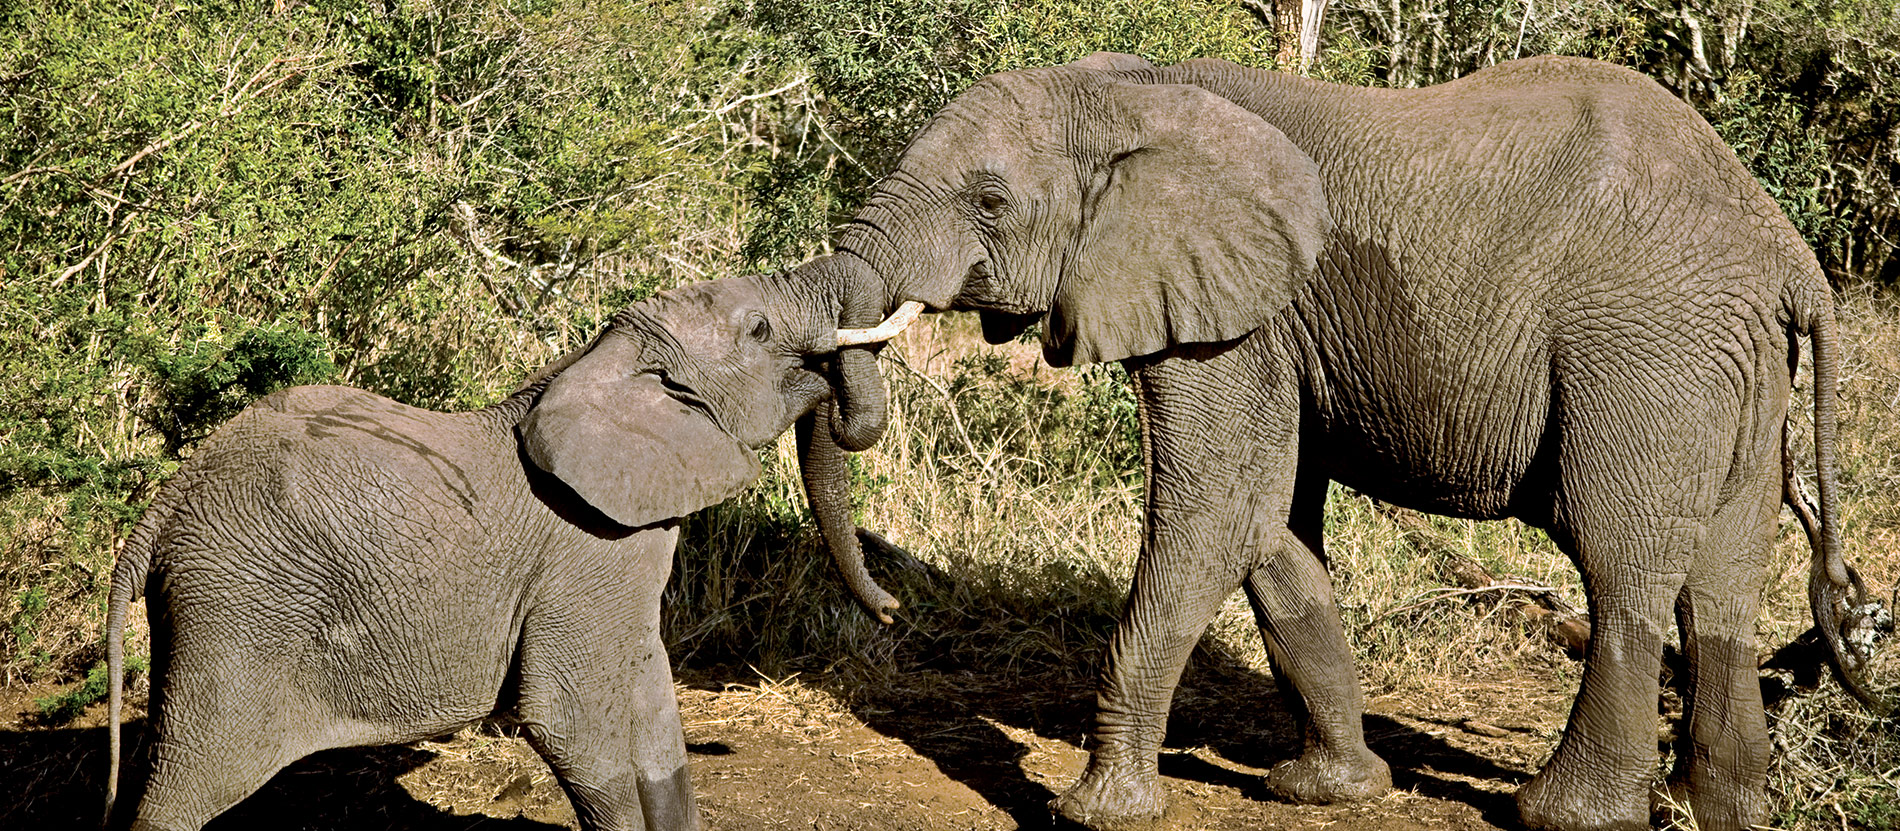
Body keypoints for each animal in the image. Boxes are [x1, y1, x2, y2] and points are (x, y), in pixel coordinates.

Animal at [100, 270, 918, 831]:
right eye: (758, 330)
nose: (893, 610)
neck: (604, 364)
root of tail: (163, 506)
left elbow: (653, 705)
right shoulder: (586, 552)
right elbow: (568, 718)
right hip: (239, 607)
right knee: (183, 790)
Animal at [814, 52, 1881, 831]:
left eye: (989, 202)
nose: (893, 610)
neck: (1125, 90)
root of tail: (1790, 256)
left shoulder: (1231, 319)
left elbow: (1217, 512)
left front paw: (1095, 811)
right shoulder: (1276, 325)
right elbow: (1274, 527)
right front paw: (1330, 790)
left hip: (1648, 352)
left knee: (1621, 558)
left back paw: (1564, 814)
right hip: (1735, 374)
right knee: (1725, 579)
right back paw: (1725, 807)